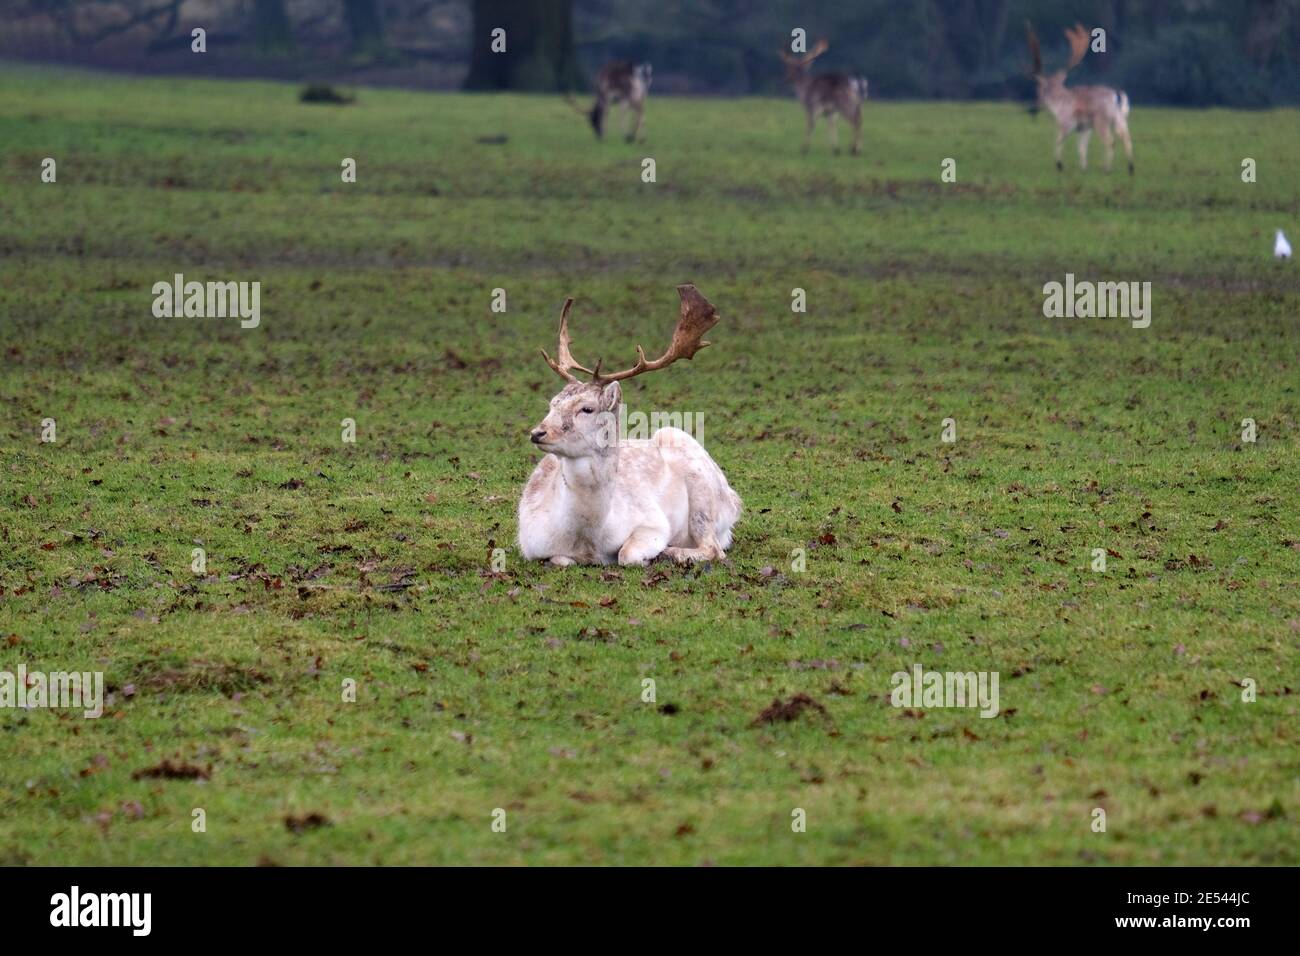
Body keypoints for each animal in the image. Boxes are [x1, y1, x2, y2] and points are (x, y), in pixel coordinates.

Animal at [518, 284, 742, 567]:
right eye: (553, 403)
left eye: (587, 408)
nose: (538, 433)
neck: (588, 539)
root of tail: (735, 502)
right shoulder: (529, 541)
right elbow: (560, 559)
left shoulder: (653, 522)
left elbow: (627, 554)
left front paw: (653, 555)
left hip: (701, 486)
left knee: (714, 548)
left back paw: (672, 553)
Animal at [1027, 22, 1133, 175]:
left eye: (1038, 88)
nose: (1036, 103)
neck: (1057, 104)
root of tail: (1116, 96)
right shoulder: (1084, 127)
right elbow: (1082, 147)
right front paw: (1083, 168)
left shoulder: (1066, 122)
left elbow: (1058, 140)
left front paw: (1059, 165)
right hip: (1120, 118)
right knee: (1126, 138)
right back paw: (1131, 168)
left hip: (1102, 120)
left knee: (1110, 141)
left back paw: (1107, 169)